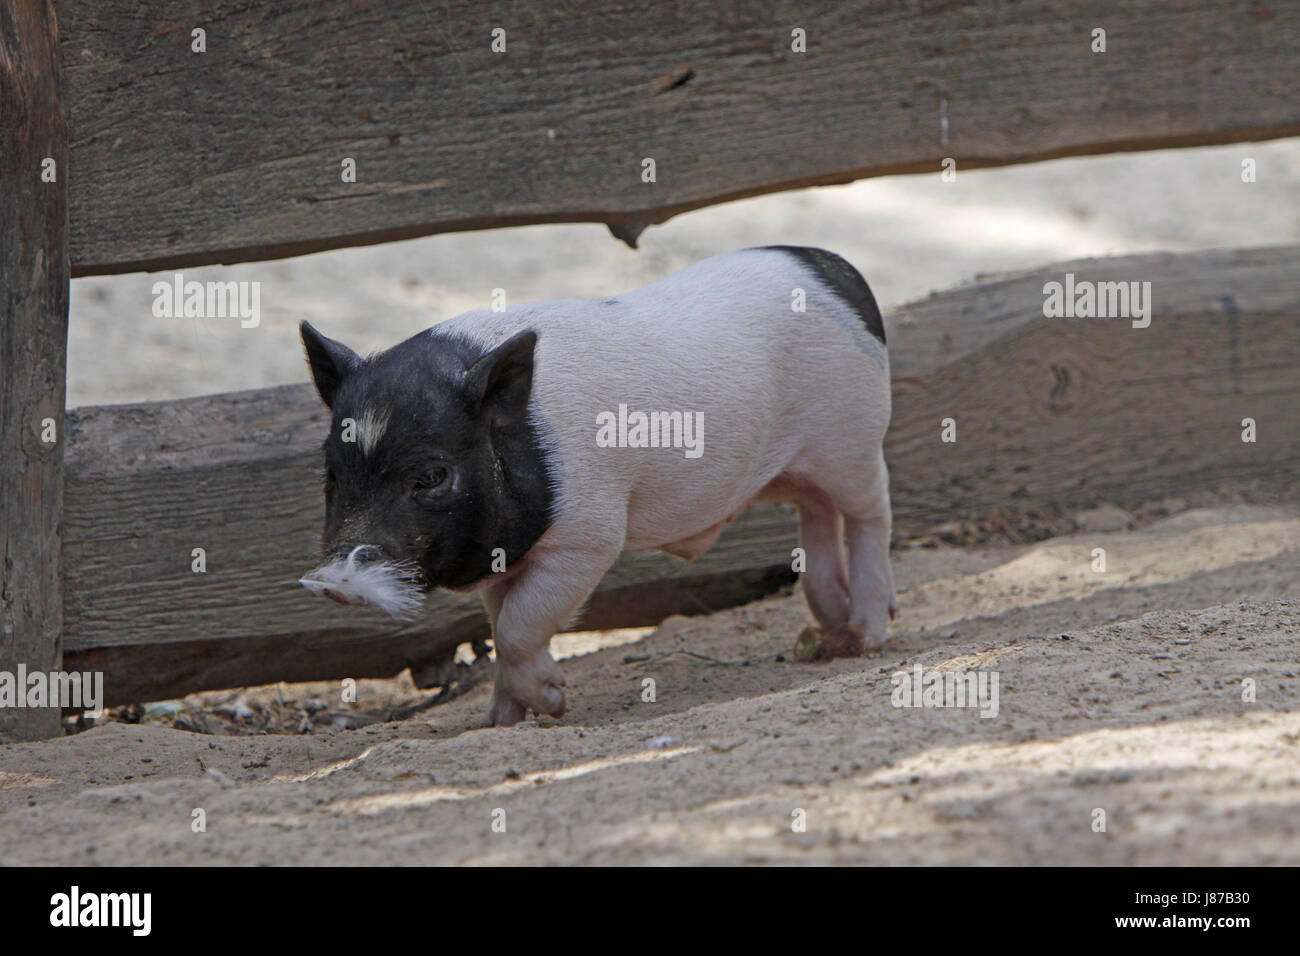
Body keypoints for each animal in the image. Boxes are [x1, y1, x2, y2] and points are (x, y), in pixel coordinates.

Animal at [299, 246, 893, 726]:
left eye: (431, 475)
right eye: (332, 472)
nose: (333, 582)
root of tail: (840, 272)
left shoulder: (588, 537)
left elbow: (516, 627)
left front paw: (554, 703)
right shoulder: (504, 553)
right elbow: (502, 626)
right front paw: (497, 724)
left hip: (853, 440)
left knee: (869, 513)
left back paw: (866, 633)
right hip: (798, 470)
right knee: (818, 513)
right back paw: (825, 627)